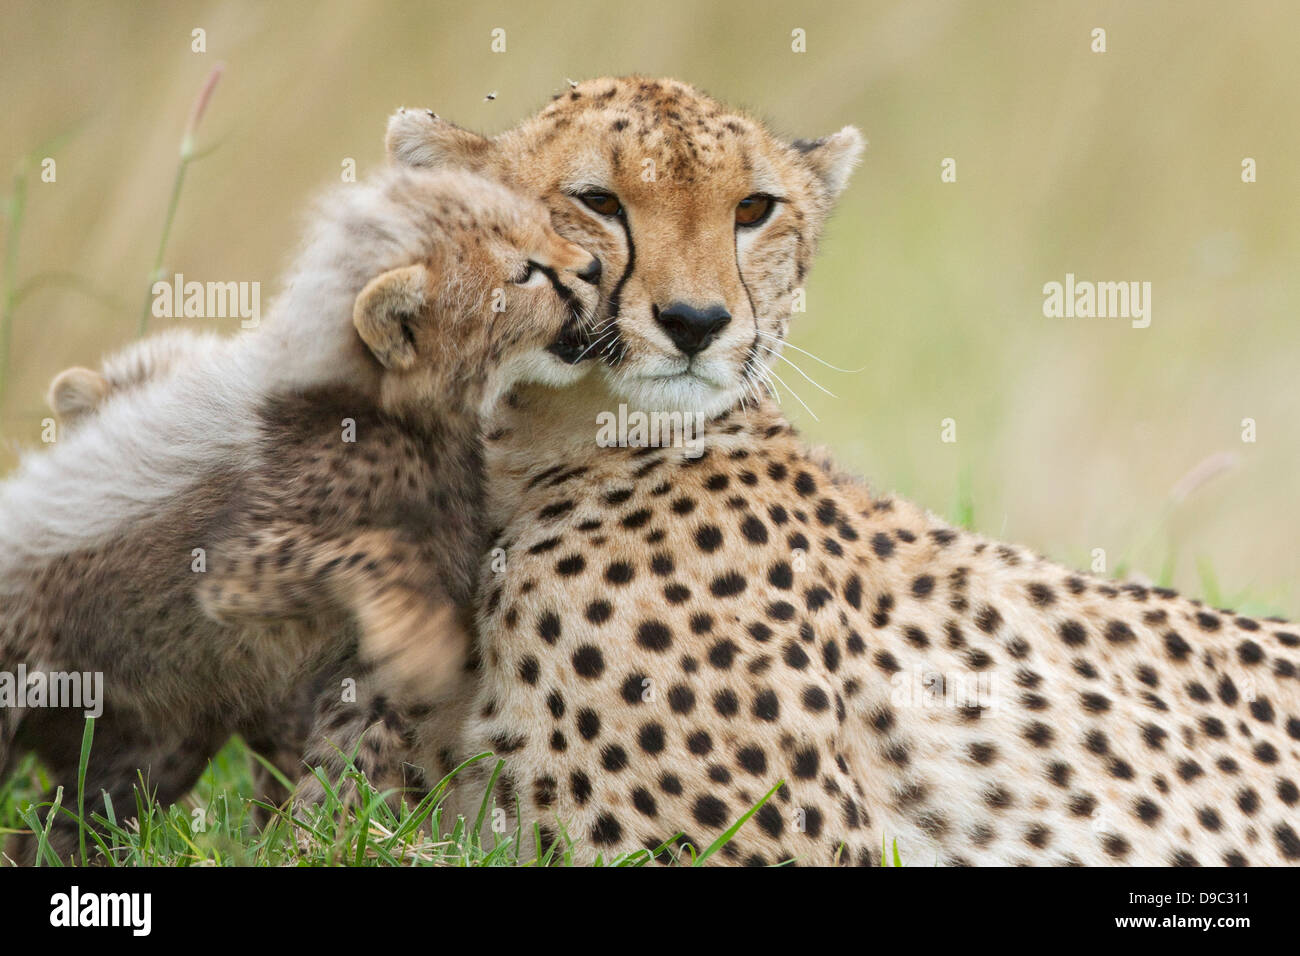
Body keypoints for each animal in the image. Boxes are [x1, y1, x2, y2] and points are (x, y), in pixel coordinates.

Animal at [0, 162, 598, 861]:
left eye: (551, 230)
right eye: (525, 272)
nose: (593, 266)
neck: (398, 419)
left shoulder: (352, 678)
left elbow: (346, 762)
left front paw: (325, 840)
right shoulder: (233, 569)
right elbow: (367, 553)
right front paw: (418, 633)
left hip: (150, 750)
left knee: (57, 826)